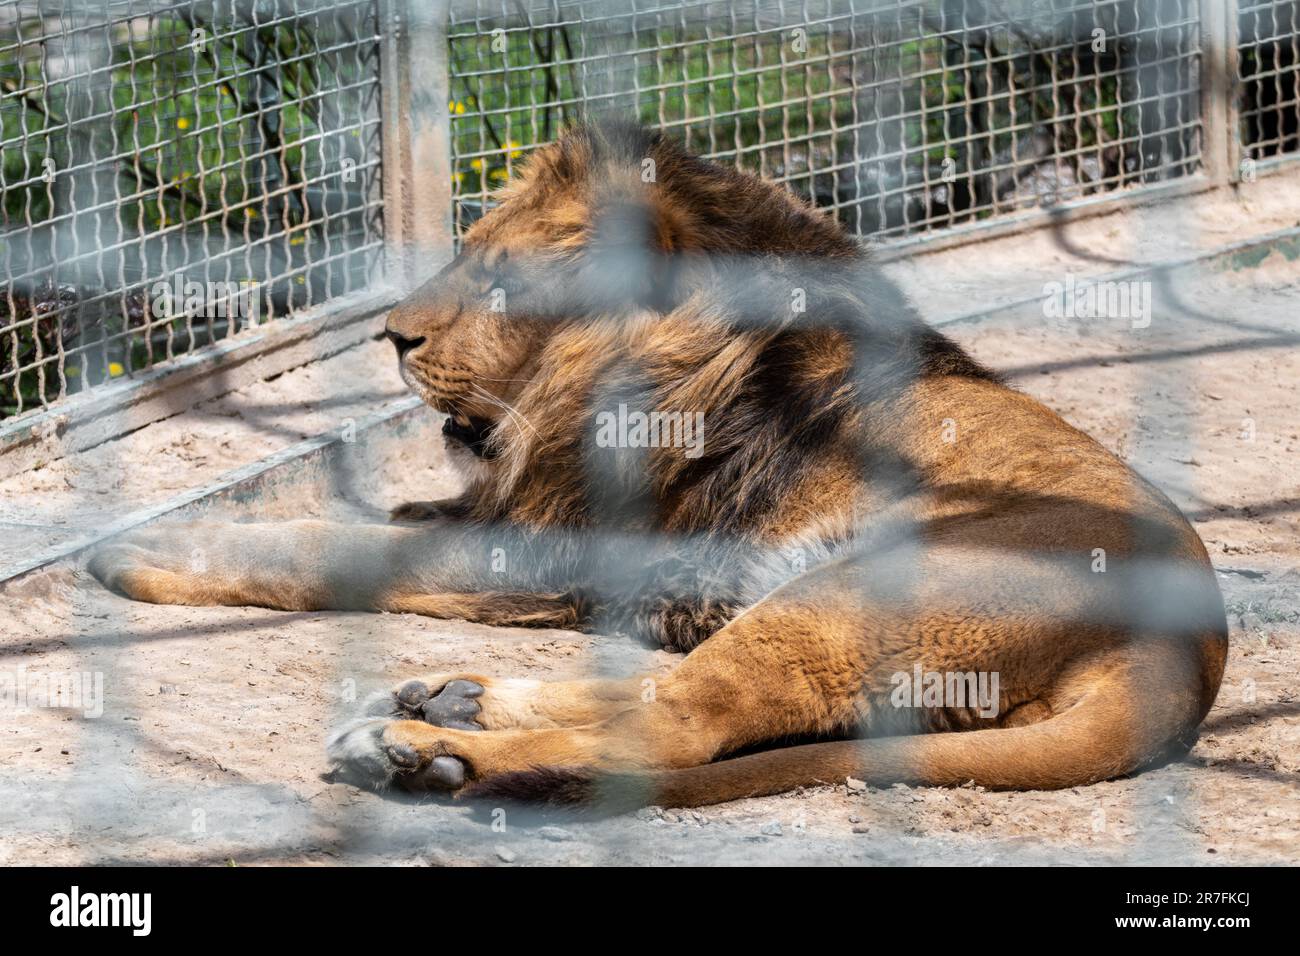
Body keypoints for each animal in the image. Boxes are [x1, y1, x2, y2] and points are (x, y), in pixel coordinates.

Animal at [89, 123, 1228, 809]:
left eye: (504, 279)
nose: (392, 337)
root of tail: (1189, 656)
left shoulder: (552, 545)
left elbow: (325, 544)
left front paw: (150, 547)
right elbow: (382, 519)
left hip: (852, 592)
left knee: (679, 726)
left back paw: (423, 753)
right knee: (661, 694)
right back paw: (451, 702)